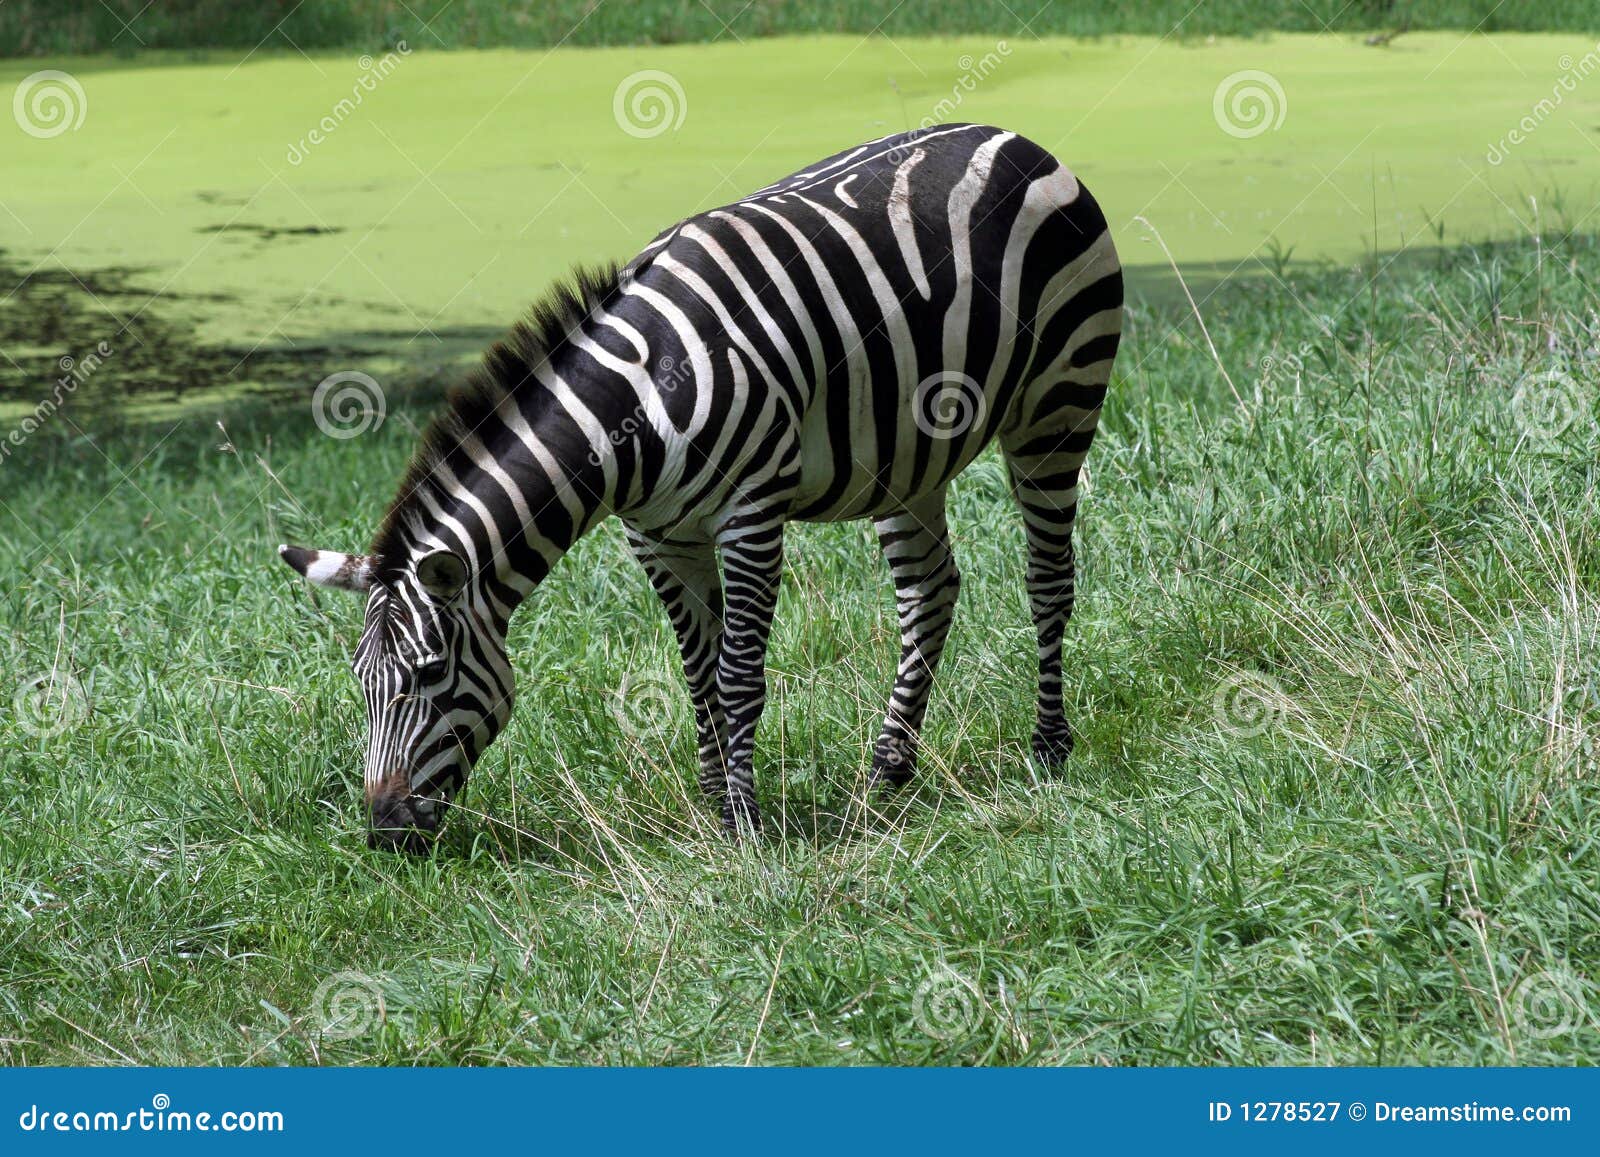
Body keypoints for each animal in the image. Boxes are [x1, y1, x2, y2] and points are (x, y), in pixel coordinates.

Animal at [278, 123, 1122, 850]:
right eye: (361, 685)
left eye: (428, 676)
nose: (384, 835)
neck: (635, 407)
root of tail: (1009, 135)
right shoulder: (658, 536)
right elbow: (697, 676)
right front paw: (715, 802)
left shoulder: (751, 514)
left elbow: (740, 674)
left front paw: (744, 825)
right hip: (908, 454)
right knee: (930, 589)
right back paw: (889, 767)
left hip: (1058, 400)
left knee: (1049, 576)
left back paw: (1048, 748)